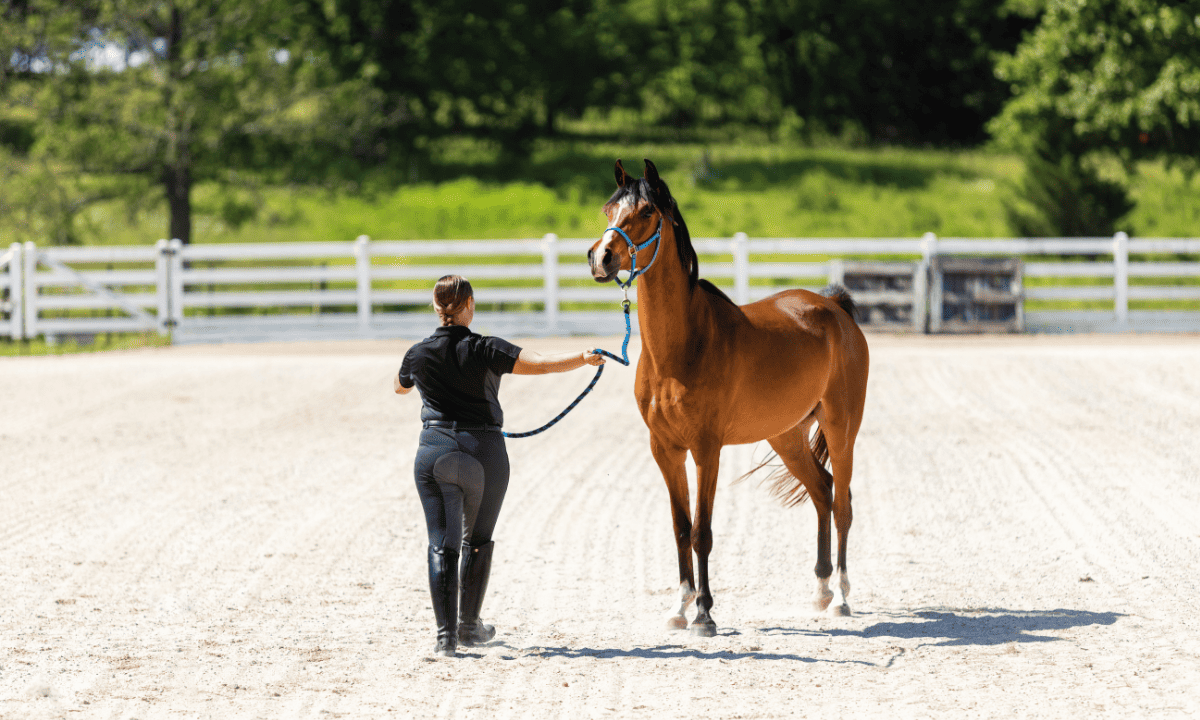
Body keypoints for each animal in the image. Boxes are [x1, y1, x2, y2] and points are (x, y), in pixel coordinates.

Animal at [587, 159, 870, 636]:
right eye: (609, 209)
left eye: (645, 211)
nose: (601, 257)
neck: (681, 347)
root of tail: (835, 309)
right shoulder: (665, 449)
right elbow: (681, 528)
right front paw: (679, 608)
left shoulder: (707, 449)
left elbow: (703, 531)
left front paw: (705, 614)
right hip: (786, 435)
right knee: (822, 490)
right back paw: (820, 590)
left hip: (841, 428)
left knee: (843, 505)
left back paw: (841, 598)